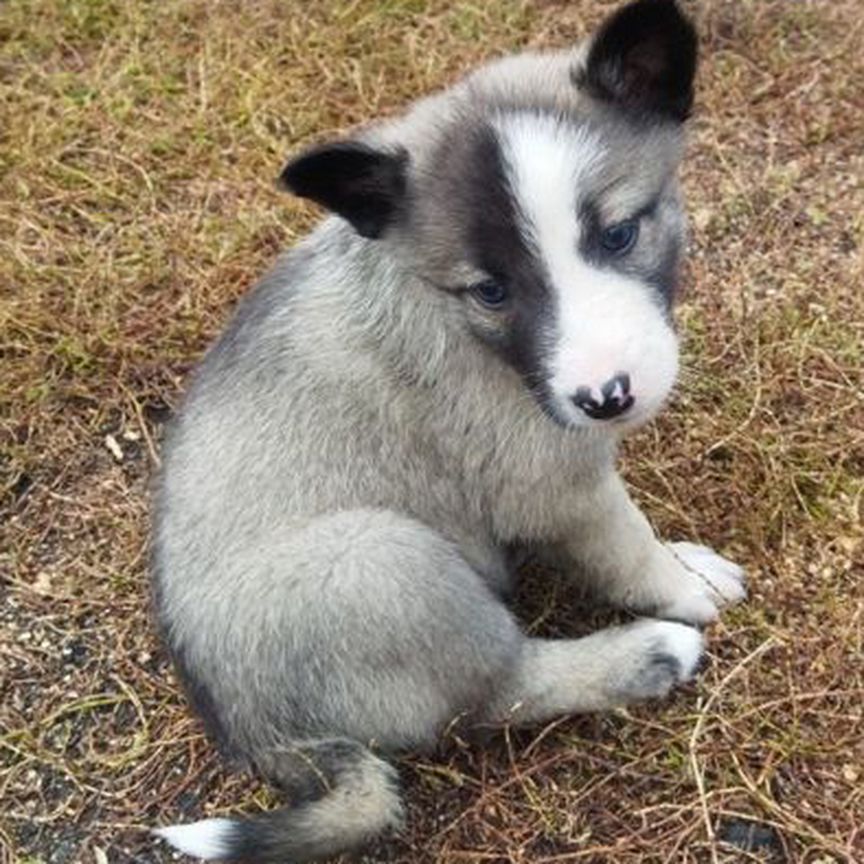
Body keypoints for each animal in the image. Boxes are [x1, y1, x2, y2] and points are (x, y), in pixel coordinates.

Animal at [148, 3, 744, 860]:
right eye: (491, 291)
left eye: (619, 236)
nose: (605, 397)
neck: (458, 323)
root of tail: (264, 742)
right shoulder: (554, 481)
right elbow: (627, 546)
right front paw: (682, 588)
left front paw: (689, 562)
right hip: (387, 563)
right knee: (502, 689)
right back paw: (651, 653)